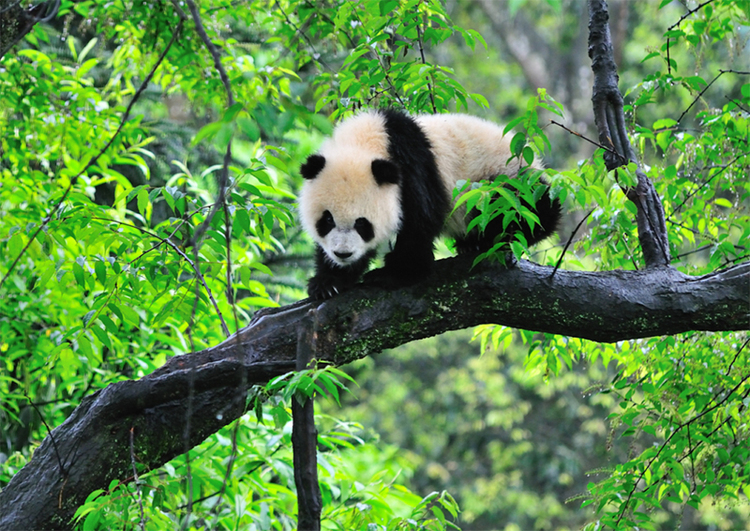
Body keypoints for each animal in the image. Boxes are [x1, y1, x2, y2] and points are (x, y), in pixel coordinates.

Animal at [299, 108, 561, 300]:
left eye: (362, 224)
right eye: (327, 220)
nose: (343, 254)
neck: (368, 139)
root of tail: (535, 163)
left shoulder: (412, 168)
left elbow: (420, 221)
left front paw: (393, 274)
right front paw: (329, 282)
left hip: (504, 179)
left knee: (527, 209)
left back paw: (490, 239)